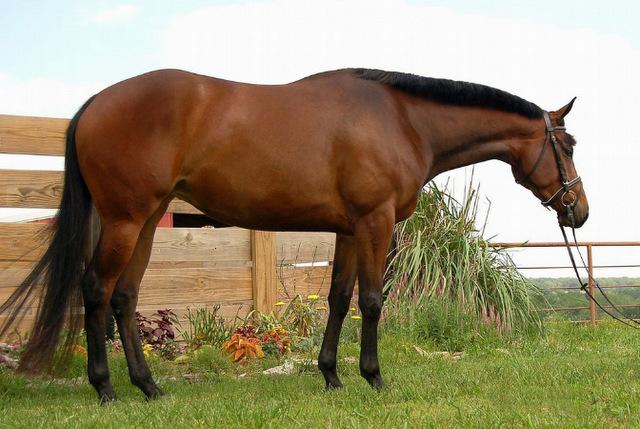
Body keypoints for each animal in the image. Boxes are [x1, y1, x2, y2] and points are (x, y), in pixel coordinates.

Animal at [0, 68, 588, 402]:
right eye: (570, 144)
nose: (578, 211)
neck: (402, 120)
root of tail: (93, 104)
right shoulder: (376, 223)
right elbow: (372, 301)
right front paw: (374, 378)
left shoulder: (350, 229)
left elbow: (338, 299)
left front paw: (331, 377)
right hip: (125, 219)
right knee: (96, 291)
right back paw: (105, 389)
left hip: (146, 221)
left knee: (124, 297)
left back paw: (149, 387)